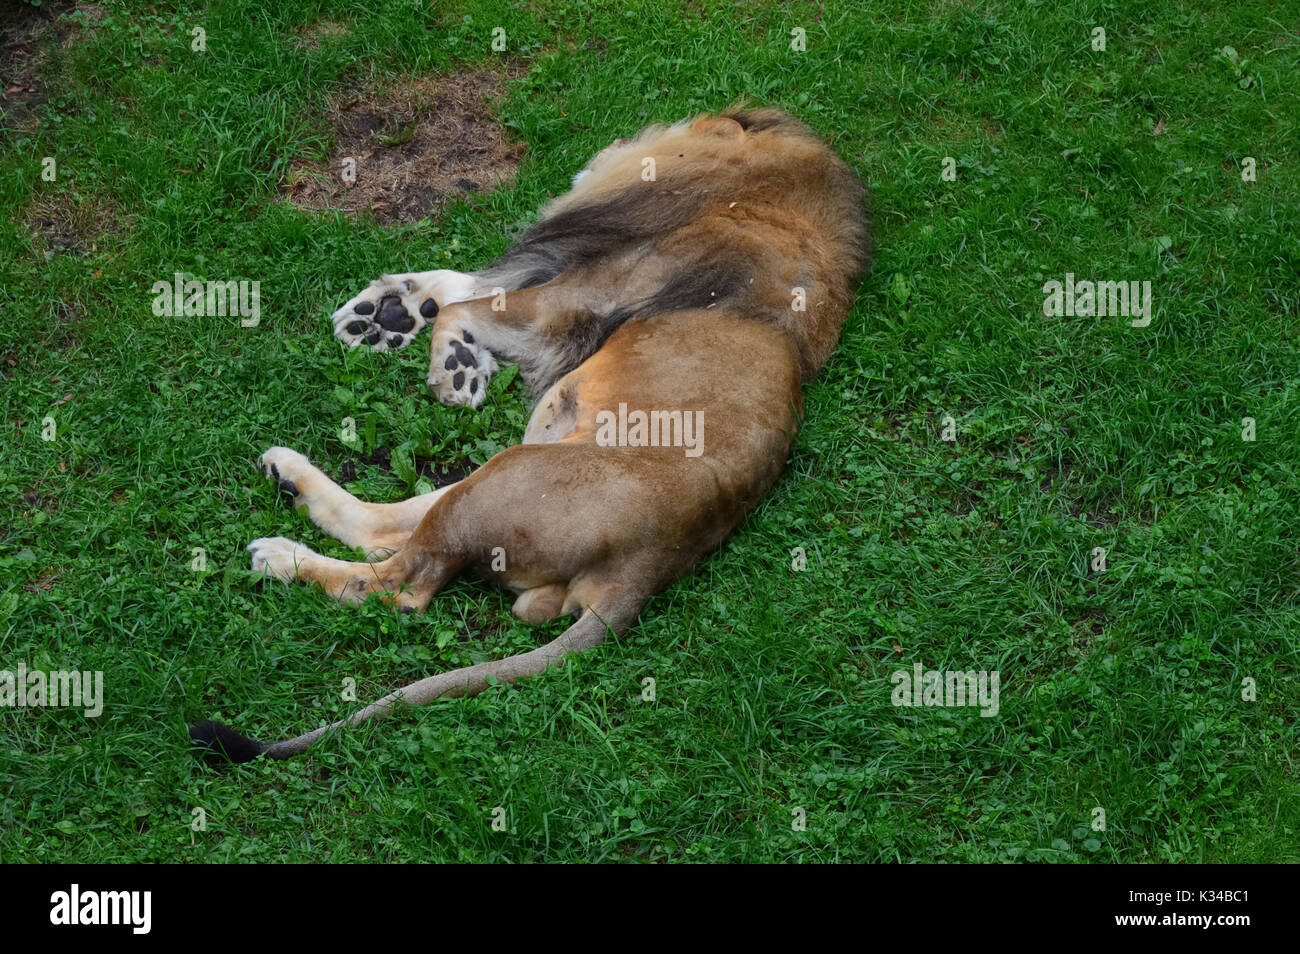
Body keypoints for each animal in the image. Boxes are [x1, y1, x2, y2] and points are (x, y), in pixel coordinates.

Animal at [191, 107, 870, 762]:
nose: (606, 145)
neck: (760, 200)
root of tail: (646, 568)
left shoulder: (572, 299)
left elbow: (467, 305)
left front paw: (454, 369)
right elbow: (463, 287)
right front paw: (396, 315)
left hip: (504, 478)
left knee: (395, 583)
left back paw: (280, 556)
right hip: (509, 469)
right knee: (389, 526)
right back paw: (288, 475)